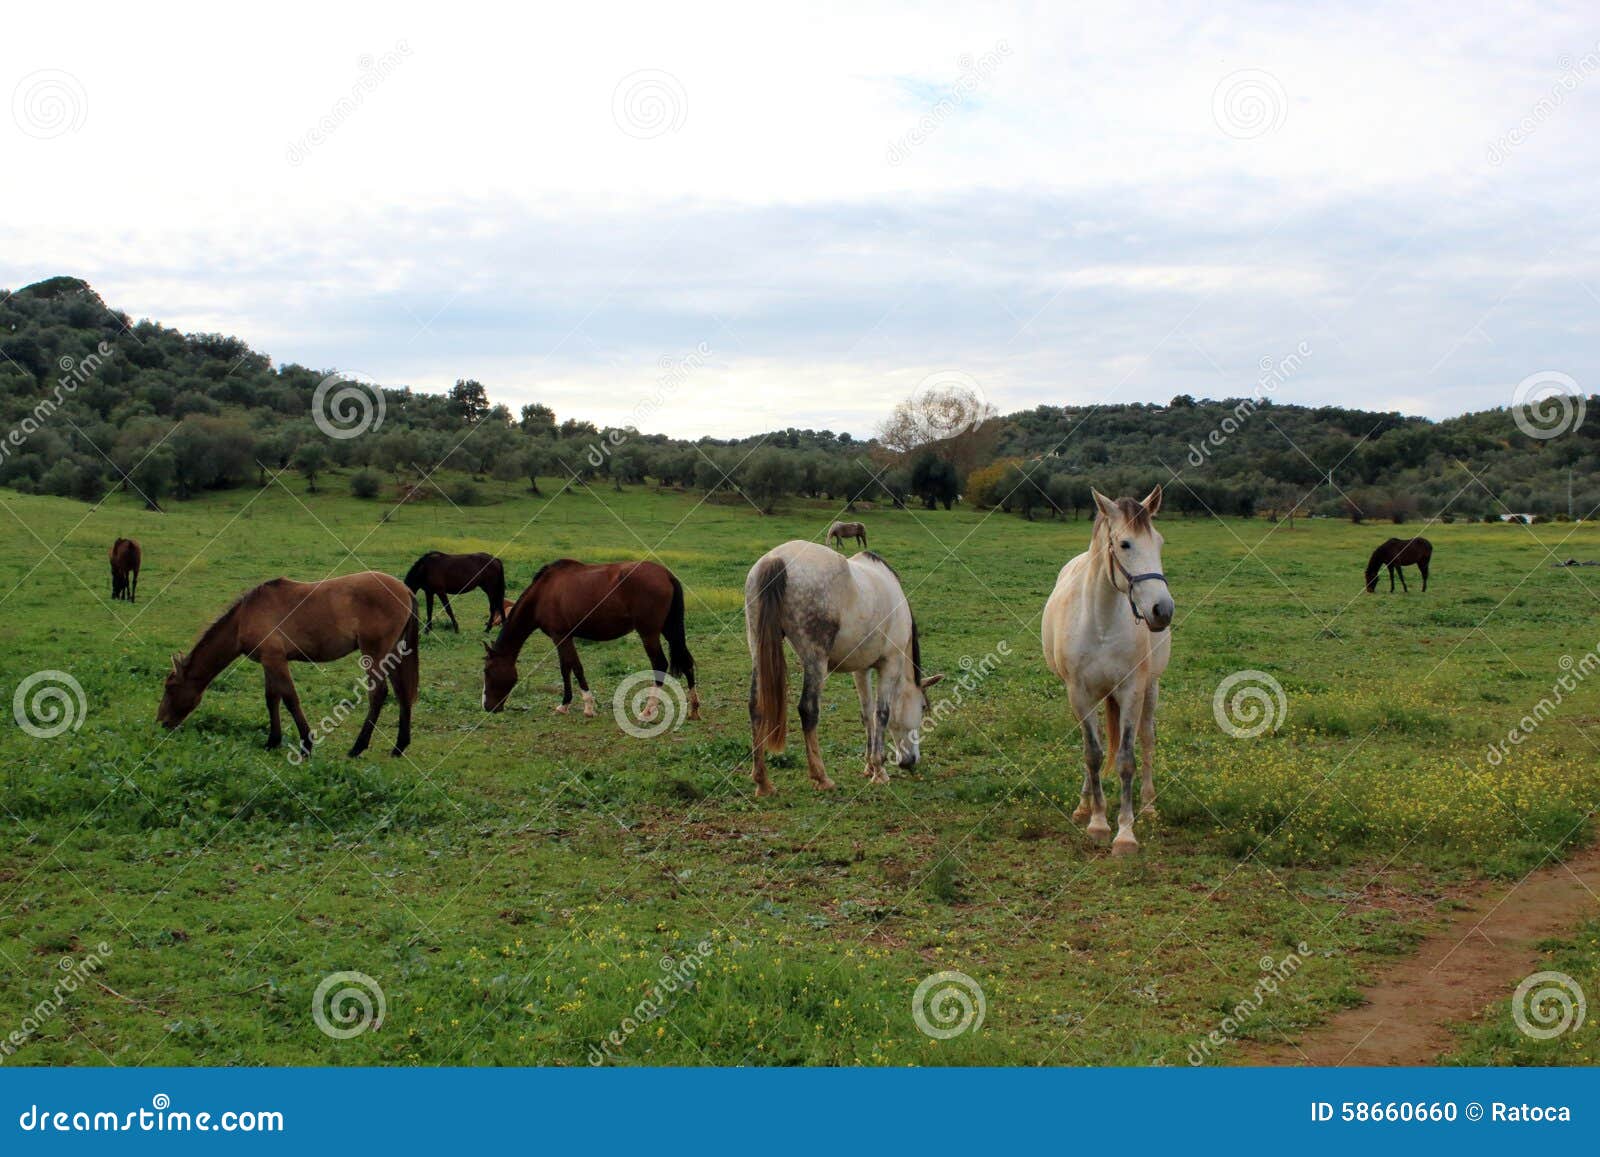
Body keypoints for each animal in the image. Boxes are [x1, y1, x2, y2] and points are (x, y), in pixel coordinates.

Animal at [156, 571, 419, 758]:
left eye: (170, 688)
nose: (161, 722)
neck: (244, 617)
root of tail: (405, 589)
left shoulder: (276, 660)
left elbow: (290, 699)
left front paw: (306, 745)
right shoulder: (268, 662)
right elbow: (272, 698)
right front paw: (273, 741)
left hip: (374, 654)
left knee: (378, 694)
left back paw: (358, 747)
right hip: (393, 654)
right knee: (402, 693)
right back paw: (399, 746)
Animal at [484, 559, 700, 721]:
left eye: (488, 672)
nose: (487, 707)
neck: (542, 593)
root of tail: (666, 575)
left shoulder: (560, 636)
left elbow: (575, 667)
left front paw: (587, 706)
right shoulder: (564, 637)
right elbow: (566, 668)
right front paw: (565, 704)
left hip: (649, 634)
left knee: (660, 664)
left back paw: (648, 710)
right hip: (669, 629)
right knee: (687, 662)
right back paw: (694, 709)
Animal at [744, 540, 942, 796]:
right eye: (923, 707)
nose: (910, 761)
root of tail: (777, 559)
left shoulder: (861, 669)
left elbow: (867, 713)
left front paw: (869, 766)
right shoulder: (890, 664)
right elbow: (882, 714)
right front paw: (879, 770)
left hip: (757, 649)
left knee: (756, 707)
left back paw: (763, 782)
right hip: (815, 660)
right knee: (808, 709)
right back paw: (821, 777)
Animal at [1042, 486, 1173, 855]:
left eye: (1159, 542)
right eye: (1125, 544)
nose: (1162, 610)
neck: (1100, 620)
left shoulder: (1132, 690)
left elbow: (1127, 757)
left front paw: (1125, 832)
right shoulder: (1079, 693)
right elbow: (1093, 754)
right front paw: (1098, 822)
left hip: (1151, 690)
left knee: (1147, 739)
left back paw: (1148, 805)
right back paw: (1084, 804)